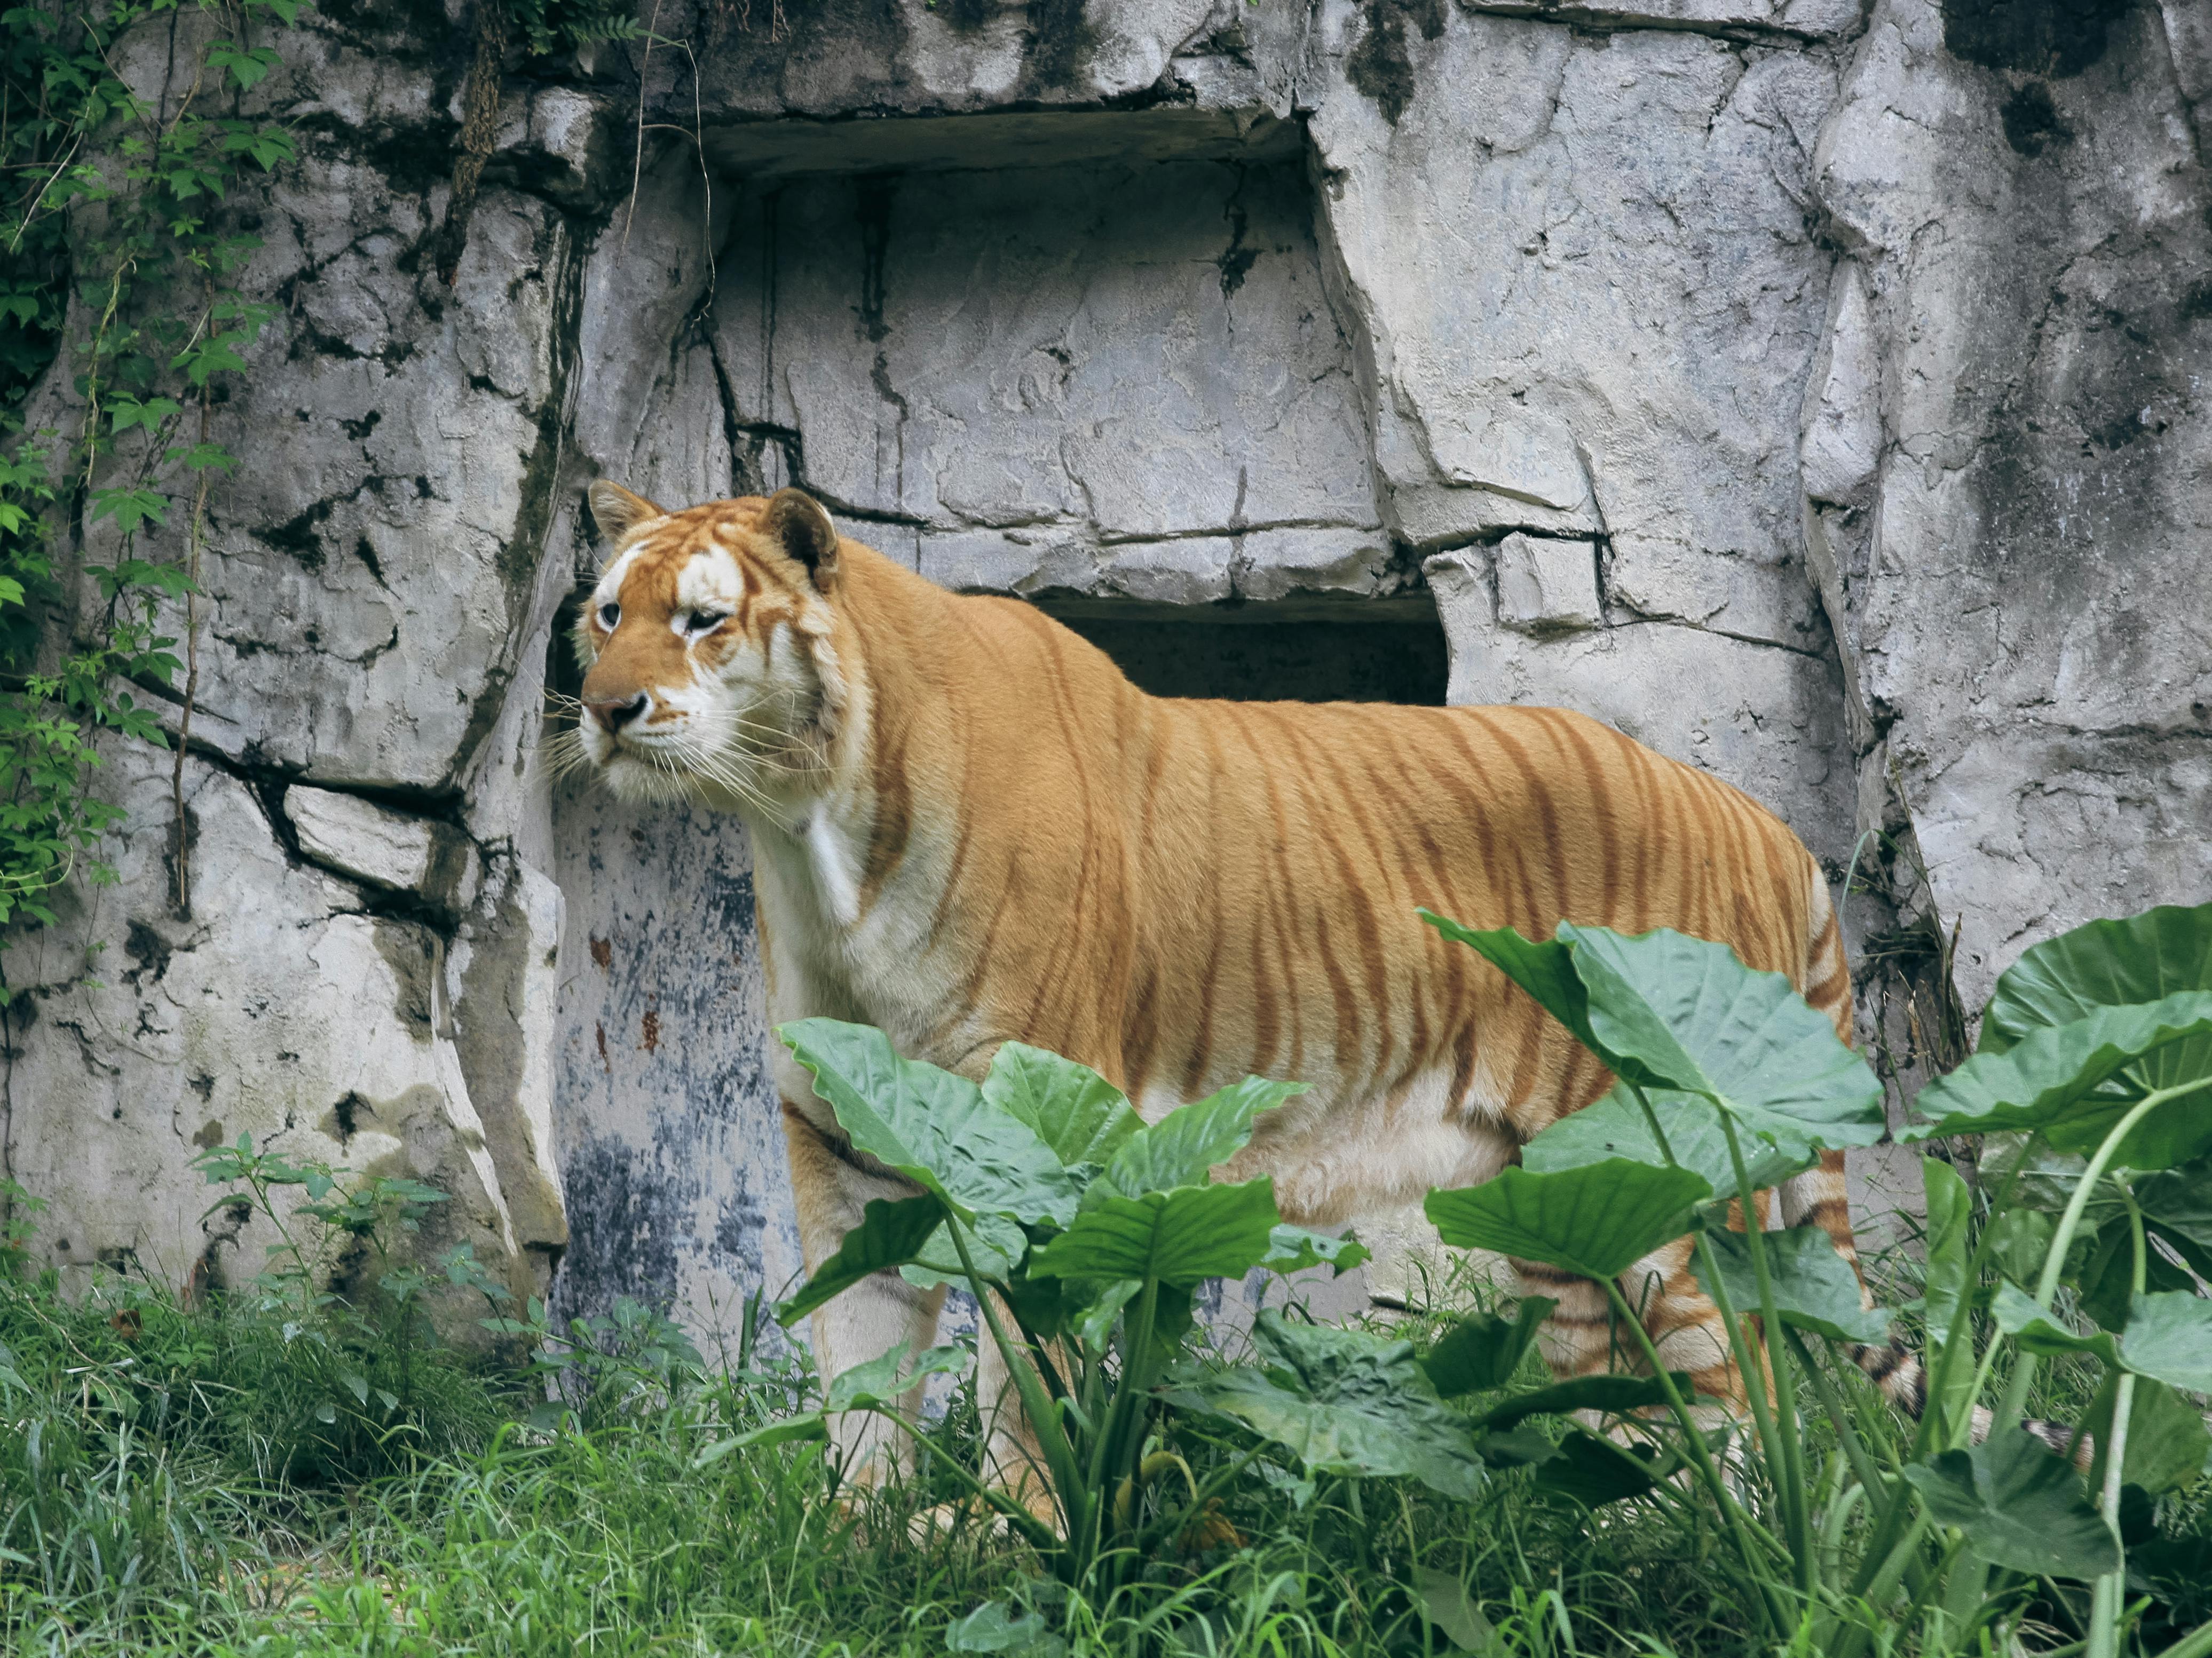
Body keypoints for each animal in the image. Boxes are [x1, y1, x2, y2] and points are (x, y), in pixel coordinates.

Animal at [566, 479, 1936, 1500]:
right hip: (1570, 1215)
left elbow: (1029, 1379)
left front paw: (1010, 1535)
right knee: (1642, 1400)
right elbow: (860, 1373)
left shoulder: (1040, 1144)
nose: (603, 708)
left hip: (1655, 1174)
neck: (812, 834)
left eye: (700, 619)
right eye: (603, 613)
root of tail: (1762, 820)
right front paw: (859, 1544)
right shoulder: (845, 1138)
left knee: (1739, 1390)